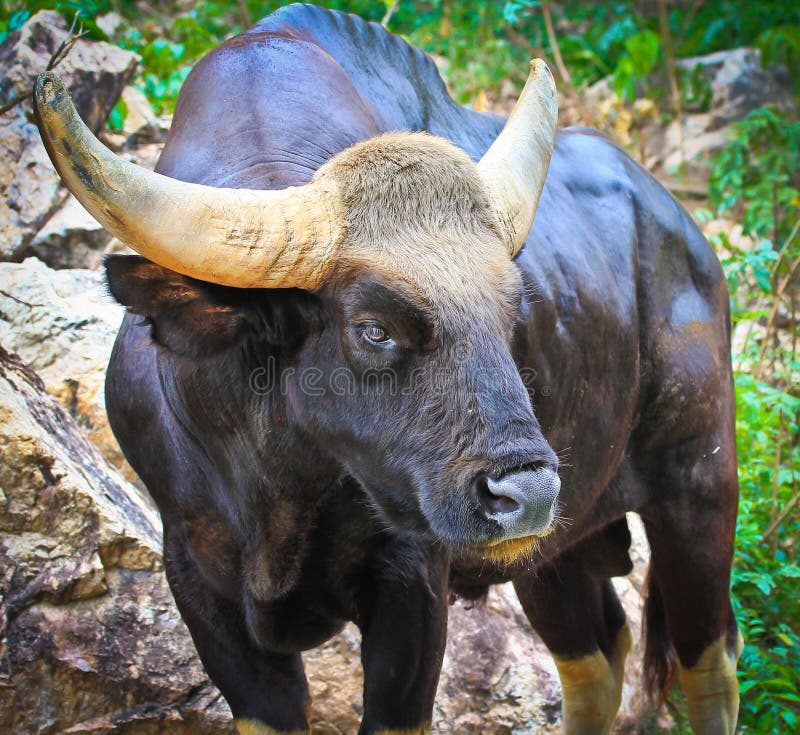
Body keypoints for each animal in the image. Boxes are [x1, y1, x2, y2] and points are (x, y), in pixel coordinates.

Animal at [34, 4, 741, 734]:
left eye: (511, 309)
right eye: (373, 327)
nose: (526, 494)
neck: (277, 482)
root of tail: (686, 236)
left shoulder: (411, 582)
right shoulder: (199, 581)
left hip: (698, 487)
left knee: (709, 661)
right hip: (557, 550)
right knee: (595, 658)